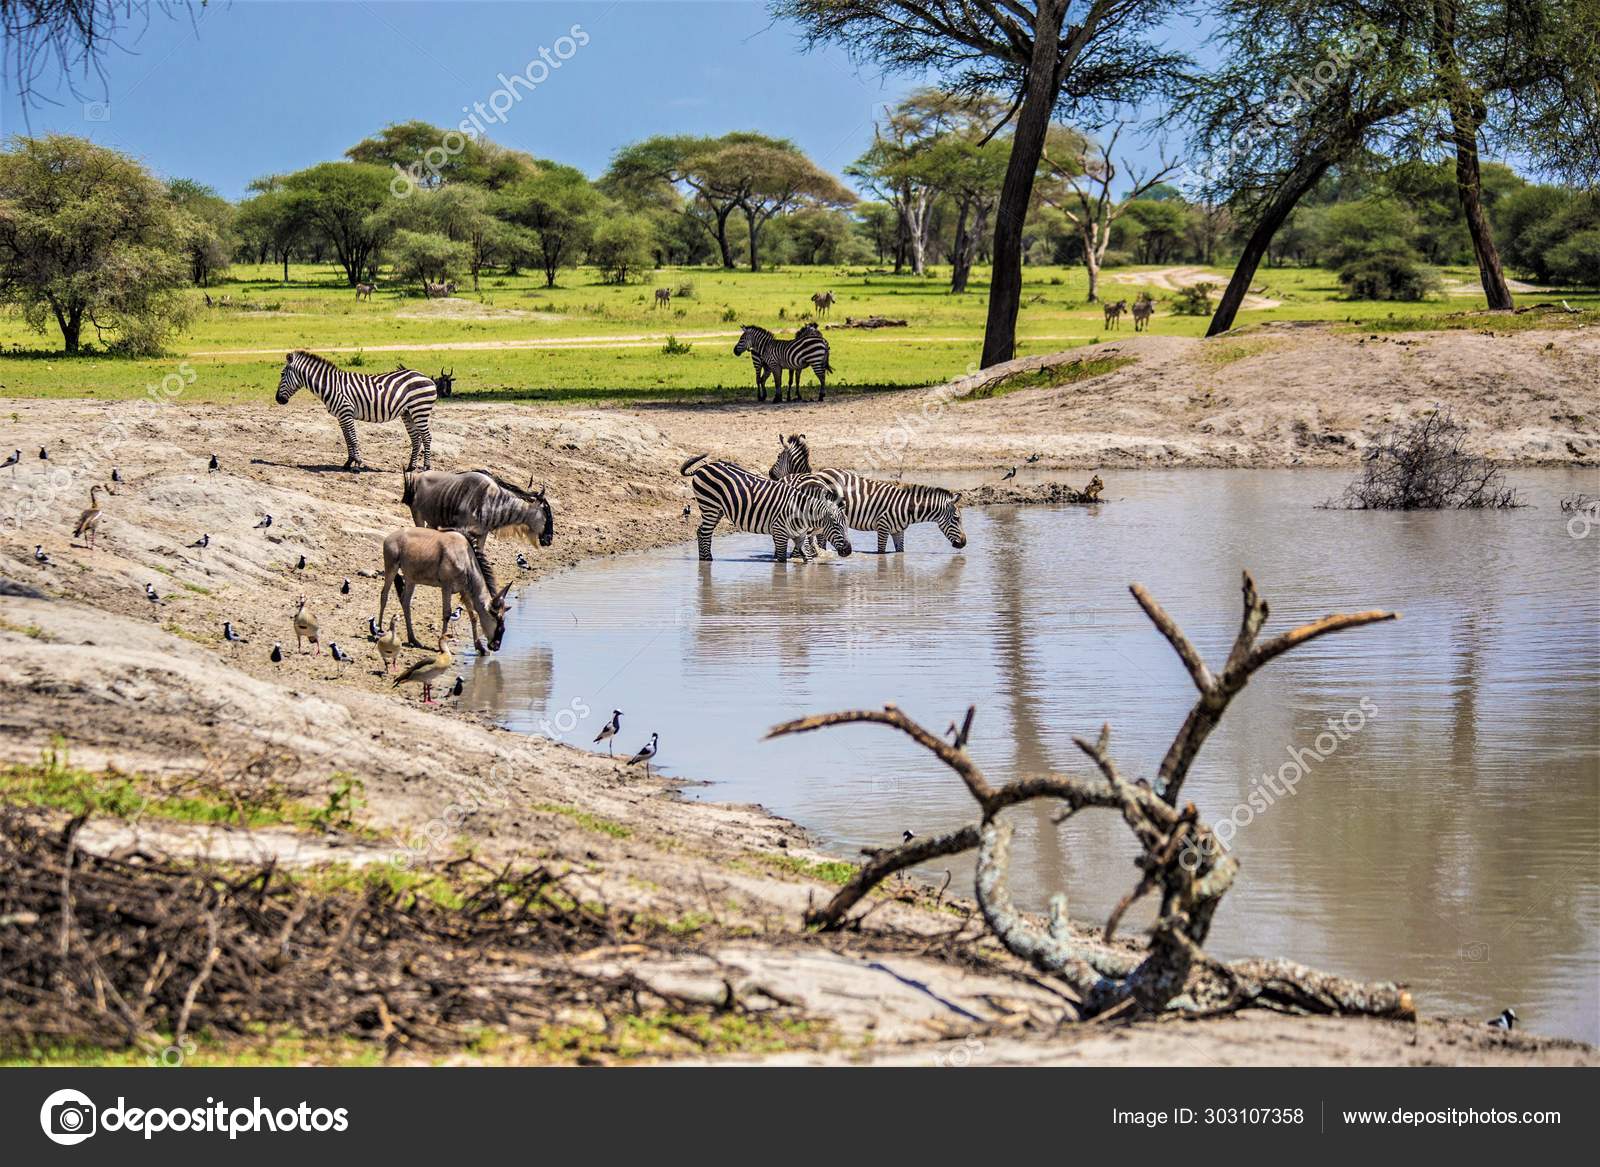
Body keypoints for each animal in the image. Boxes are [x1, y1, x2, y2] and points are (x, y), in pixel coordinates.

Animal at [275, 350, 438, 471]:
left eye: (282, 374)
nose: (278, 399)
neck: (331, 385)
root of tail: (426, 377)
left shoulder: (346, 412)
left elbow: (352, 439)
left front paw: (358, 463)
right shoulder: (341, 416)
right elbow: (347, 439)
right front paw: (348, 462)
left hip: (420, 410)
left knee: (426, 437)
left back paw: (426, 467)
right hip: (408, 413)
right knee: (416, 438)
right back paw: (411, 467)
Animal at [679, 453, 852, 562]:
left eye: (846, 526)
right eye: (836, 525)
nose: (848, 551)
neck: (802, 512)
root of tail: (703, 467)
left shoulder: (800, 537)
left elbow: (807, 560)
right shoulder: (780, 532)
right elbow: (781, 561)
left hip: (717, 510)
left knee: (701, 532)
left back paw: (705, 559)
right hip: (710, 505)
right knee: (704, 533)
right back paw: (707, 560)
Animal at [768, 433, 967, 554]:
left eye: (777, 457)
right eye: (957, 519)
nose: (964, 543)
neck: (906, 507)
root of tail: (820, 473)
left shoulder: (898, 532)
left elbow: (900, 553)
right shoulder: (883, 527)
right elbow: (881, 552)